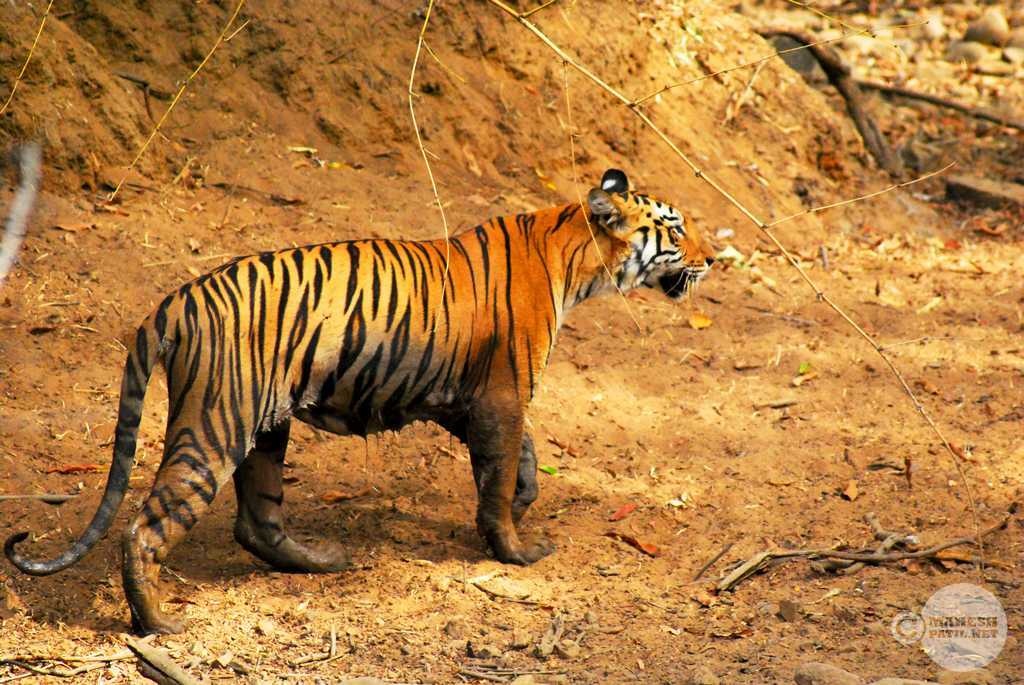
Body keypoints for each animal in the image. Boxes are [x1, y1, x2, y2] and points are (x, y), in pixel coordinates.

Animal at [4, 168, 715, 635]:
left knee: (256, 518)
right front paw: (515, 548)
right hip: (216, 422)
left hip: (265, 423)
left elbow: (524, 461)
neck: (575, 255)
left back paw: (319, 563)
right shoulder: (502, 395)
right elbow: (501, 473)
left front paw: (523, 499)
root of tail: (173, 300)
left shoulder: (468, 398)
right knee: (148, 527)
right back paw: (158, 625)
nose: (715, 258)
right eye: (676, 228)